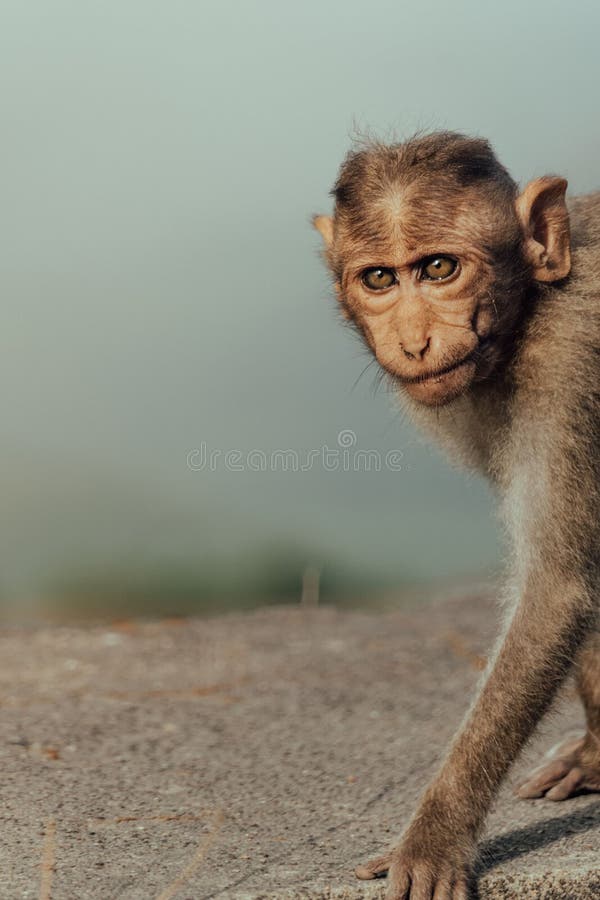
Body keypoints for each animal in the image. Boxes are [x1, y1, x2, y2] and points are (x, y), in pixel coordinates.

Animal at [313, 131, 600, 900]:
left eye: (439, 268)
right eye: (380, 279)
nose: (413, 341)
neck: (533, 306)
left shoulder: (571, 368)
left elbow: (555, 590)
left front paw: (433, 835)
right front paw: (597, 752)